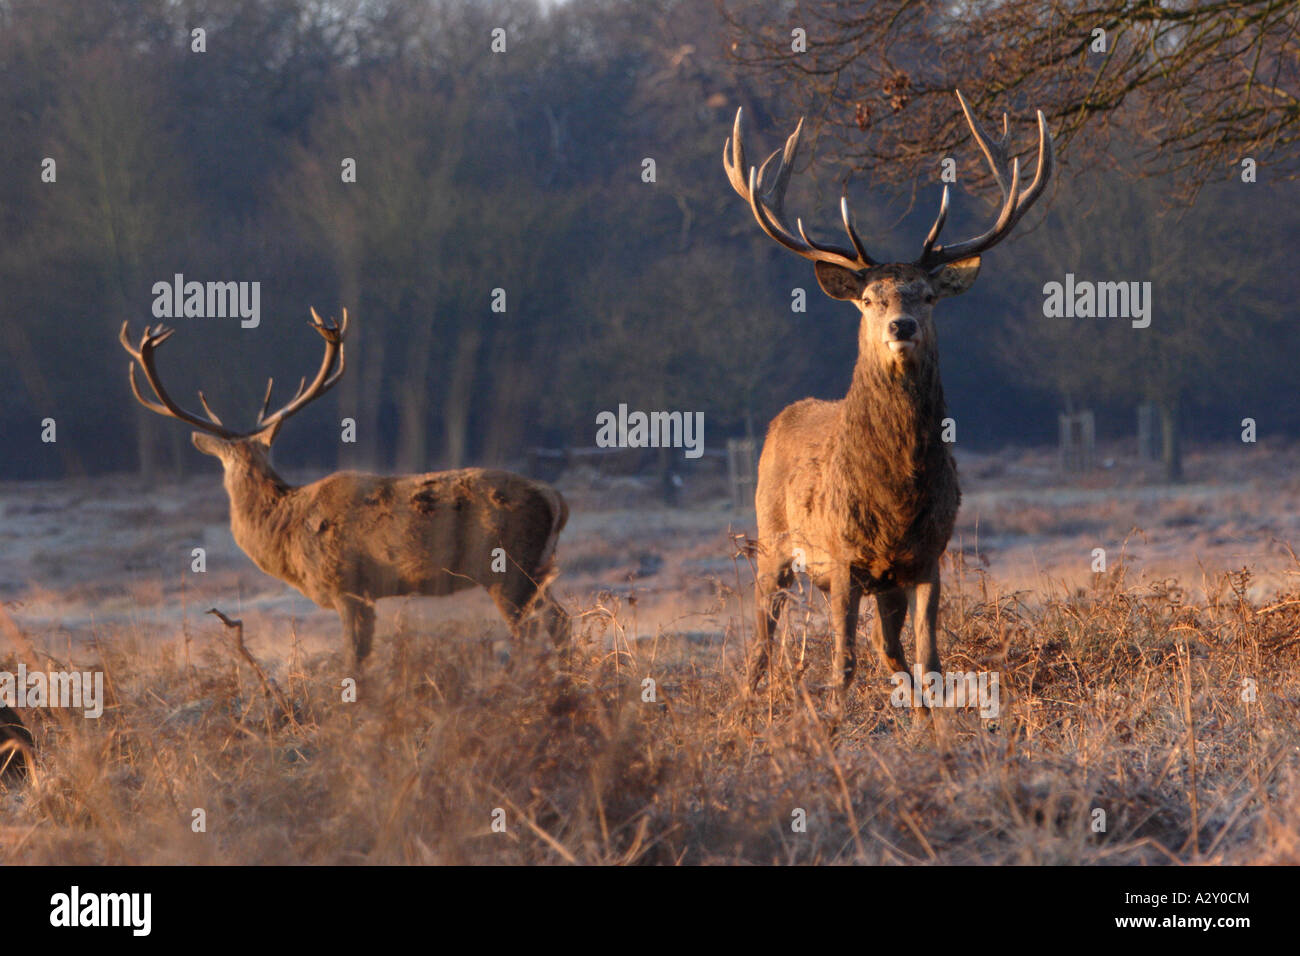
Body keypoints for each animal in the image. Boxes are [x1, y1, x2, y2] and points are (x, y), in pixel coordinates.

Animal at [119, 309, 569, 671]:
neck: (284, 528)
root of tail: (554, 499)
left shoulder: (348, 586)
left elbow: (355, 659)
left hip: (507, 569)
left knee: (531, 634)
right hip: (536, 571)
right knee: (560, 624)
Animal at [724, 90, 1053, 703]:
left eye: (927, 295)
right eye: (870, 299)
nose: (902, 326)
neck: (895, 495)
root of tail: (783, 418)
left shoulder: (928, 556)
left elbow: (929, 660)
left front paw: (932, 719)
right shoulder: (842, 559)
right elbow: (843, 666)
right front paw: (834, 717)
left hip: (883, 581)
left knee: (888, 647)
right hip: (771, 539)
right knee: (762, 642)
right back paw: (750, 700)